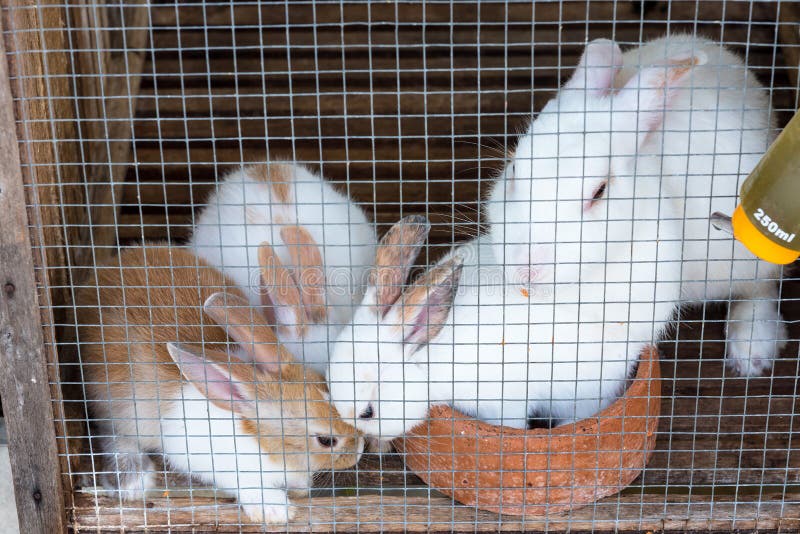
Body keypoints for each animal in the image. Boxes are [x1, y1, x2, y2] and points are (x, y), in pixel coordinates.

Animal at [77, 245, 364, 524]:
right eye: (326, 440)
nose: (360, 450)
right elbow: (245, 485)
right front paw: (275, 510)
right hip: (118, 407)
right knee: (113, 436)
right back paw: (132, 480)